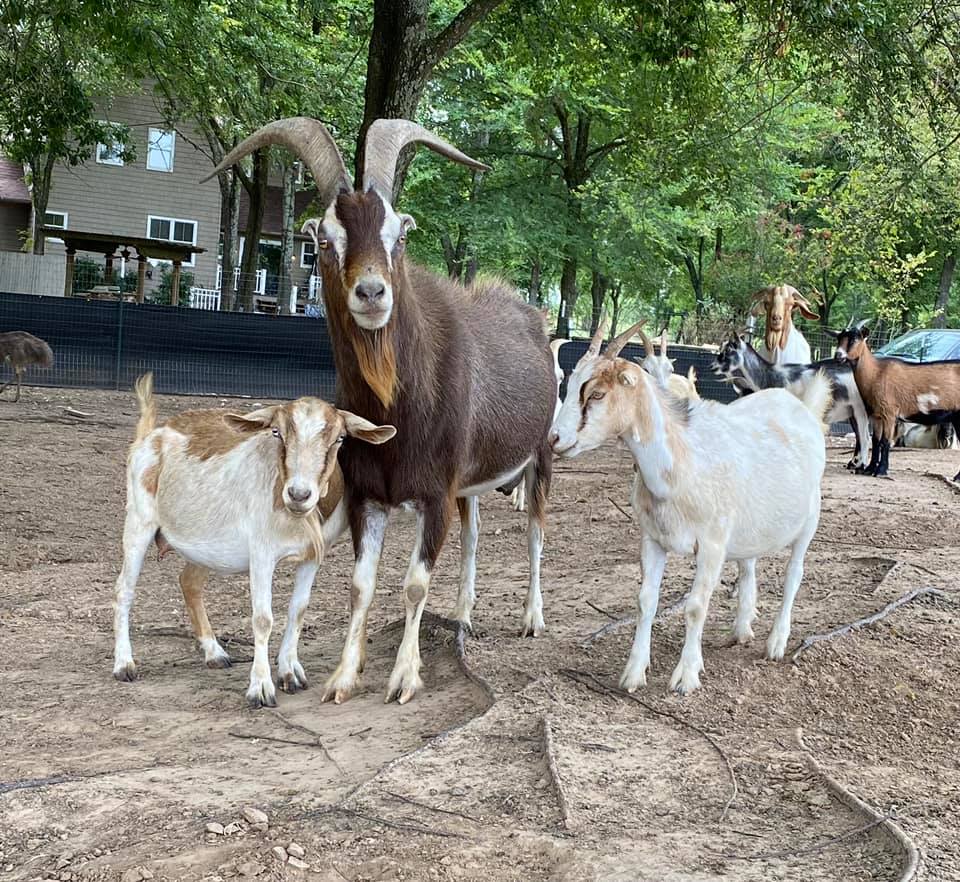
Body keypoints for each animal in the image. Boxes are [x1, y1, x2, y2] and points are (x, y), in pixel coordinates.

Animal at [112, 373, 395, 707]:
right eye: (277, 432)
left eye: (339, 438)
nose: (299, 494)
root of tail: (150, 434)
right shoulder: (262, 553)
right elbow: (263, 618)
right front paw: (260, 687)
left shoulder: (313, 556)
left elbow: (298, 609)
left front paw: (290, 673)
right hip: (139, 520)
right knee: (124, 589)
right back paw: (124, 665)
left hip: (206, 546)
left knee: (189, 581)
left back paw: (215, 653)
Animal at [208, 118, 558, 705]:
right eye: (324, 239)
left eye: (400, 232)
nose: (371, 293)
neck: (403, 403)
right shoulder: (369, 495)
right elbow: (360, 584)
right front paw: (344, 676)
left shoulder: (435, 494)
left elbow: (414, 584)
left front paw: (404, 677)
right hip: (470, 482)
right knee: (474, 534)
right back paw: (463, 613)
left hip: (541, 454)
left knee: (534, 529)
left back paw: (533, 617)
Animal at [550, 321, 830, 695]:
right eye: (569, 385)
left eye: (596, 394)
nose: (555, 439)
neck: (680, 462)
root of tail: (802, 408)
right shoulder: (652, 538)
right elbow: (645, 601)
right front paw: (633, 672)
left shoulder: (712, 543)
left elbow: (696, 607)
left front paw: (686, 676)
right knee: (748, 566)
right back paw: (740, 629)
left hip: (809, 518)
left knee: (793, 574)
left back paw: (776, 642)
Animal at [714, 333, 872, 470]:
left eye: (728, 350)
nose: (712, 366)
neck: (773, 375)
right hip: (852, 411)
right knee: (860, 437)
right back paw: (854, 463)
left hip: (860, 409)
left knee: (865, 438)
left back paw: (862, 466)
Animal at [834, 323, 960, 480]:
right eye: (839, 338)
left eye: (855, 339)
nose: (838, 356)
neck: (877, 373)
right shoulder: (876, 415)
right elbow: (876, 441)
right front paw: (869, 469)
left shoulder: (889, 413)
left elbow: (885, 441)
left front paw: (881, 471)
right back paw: (957, 477)